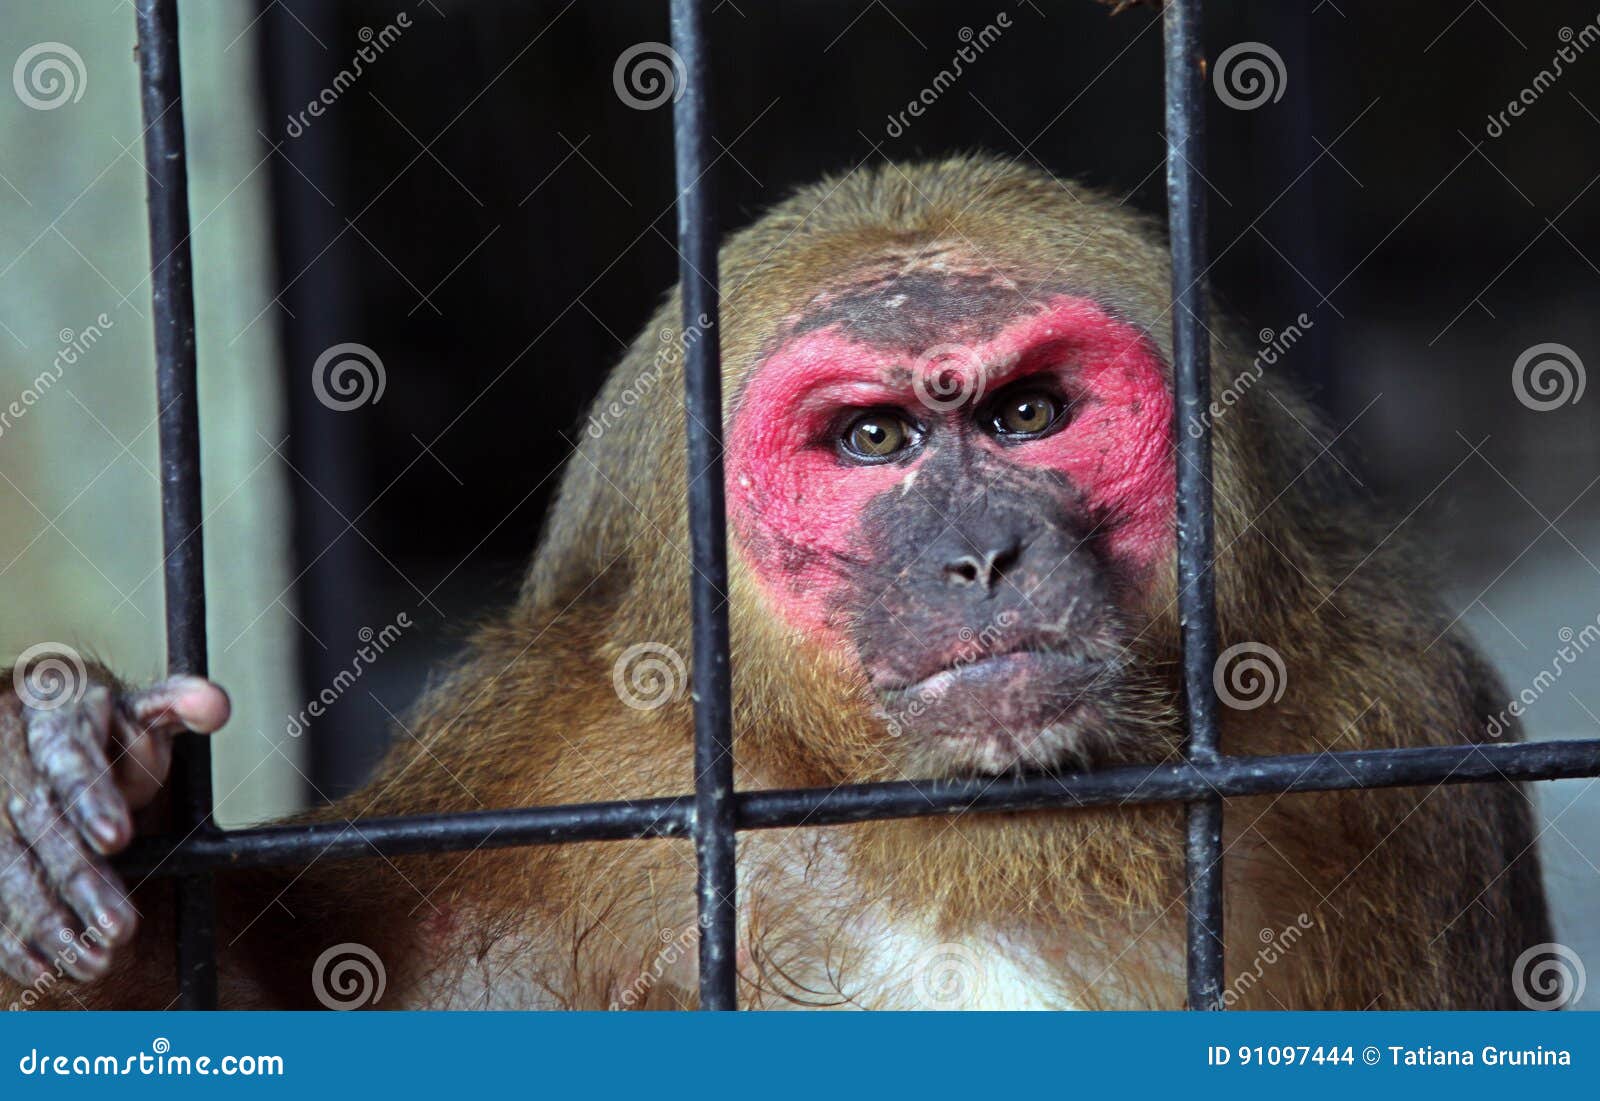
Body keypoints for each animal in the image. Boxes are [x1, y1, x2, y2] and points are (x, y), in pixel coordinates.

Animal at [0, 156, 1550, 1010]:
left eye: (1027, 416)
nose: (980, 555)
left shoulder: (1388, 728)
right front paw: (53, 801)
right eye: (872, 440)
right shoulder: (554, 767)